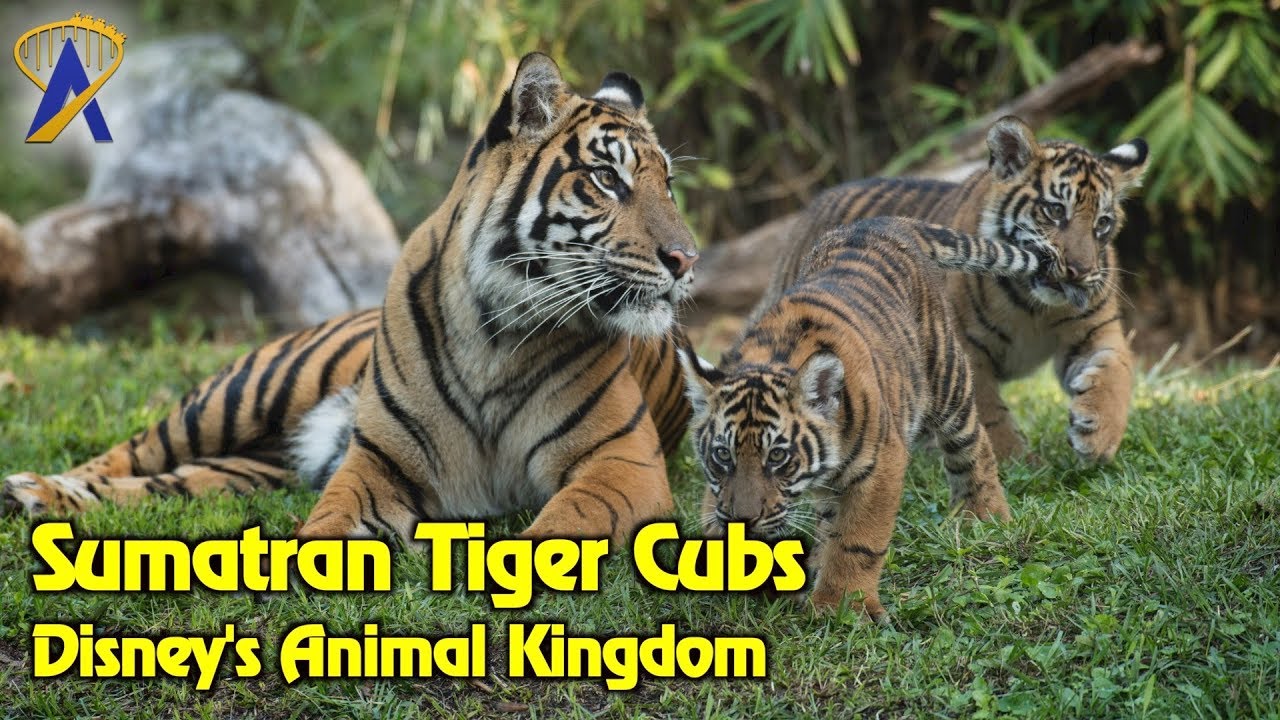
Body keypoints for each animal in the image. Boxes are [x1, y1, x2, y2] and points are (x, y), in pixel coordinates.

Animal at [3, 52, 696, 546]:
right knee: (129, 453)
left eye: (667, 183)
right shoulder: (379, 463)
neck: (498, 331)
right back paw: (37, 489)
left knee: (170, 482)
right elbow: (330, 521)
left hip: (250, 467)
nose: (687, 259)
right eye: (607, 177)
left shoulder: (620, 463)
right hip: (238, 395)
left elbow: (563, 525)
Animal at [680, 216, 1050, 619]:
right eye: (722, 455)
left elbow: (857, 541)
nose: (742, 521)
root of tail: (884, 222)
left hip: (946, 378)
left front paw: (843, 606)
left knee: (972, 444)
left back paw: (984, 515)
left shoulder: (881, 465)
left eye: (777, 456)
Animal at [764, 116, 1149, 464]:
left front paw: (1098, 435)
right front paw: (1018, 463)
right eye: (1055, 210)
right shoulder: (965, 348)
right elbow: (989, 414)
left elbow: (1116, 373)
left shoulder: (1095, 331)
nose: (1080, 271)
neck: (1035, 305)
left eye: (1102, 224)